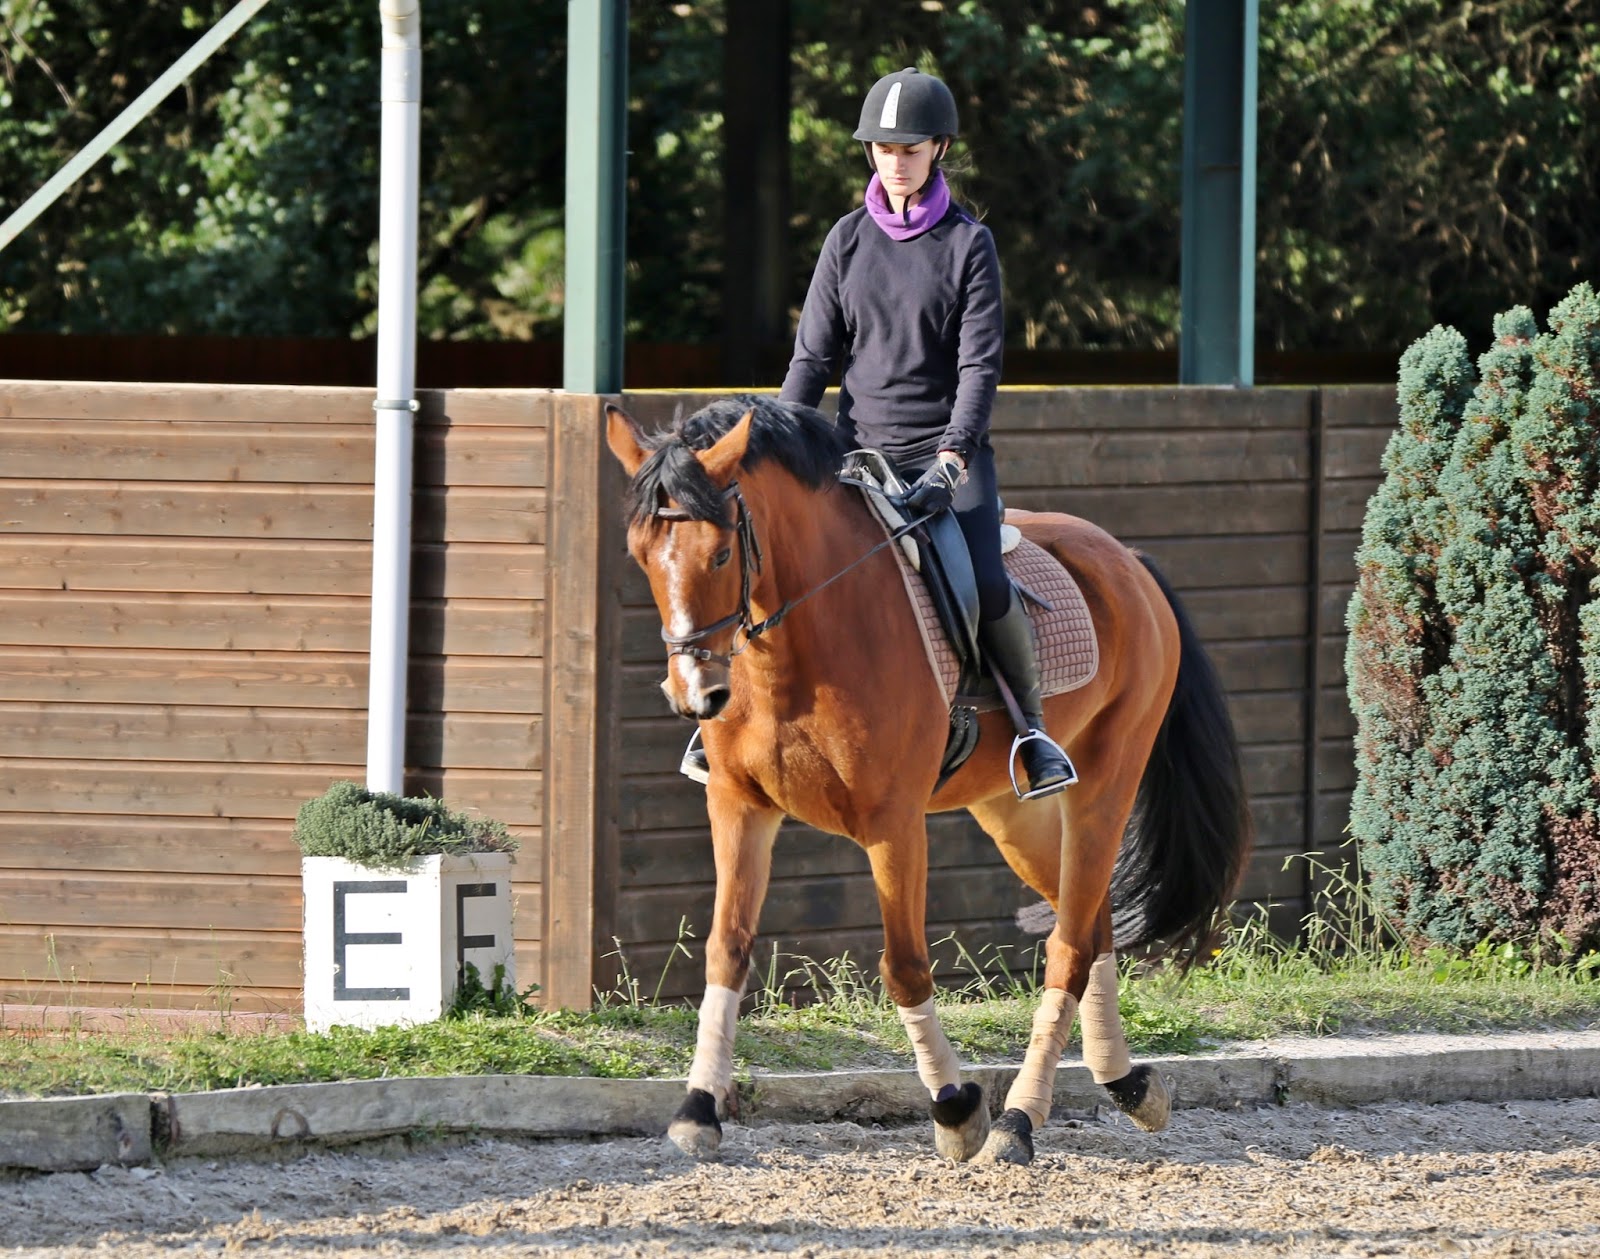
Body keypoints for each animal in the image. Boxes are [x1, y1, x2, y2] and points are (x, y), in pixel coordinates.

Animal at [605, 394, 1252, 1165]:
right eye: (641, 557)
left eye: (723, 553)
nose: (695, 695)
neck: (799, 646)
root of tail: (1130, 561)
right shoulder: (739, 805)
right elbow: (725, 948)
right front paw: (698, 1108)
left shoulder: (893, 823)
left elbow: (906, 965)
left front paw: (956, 1108)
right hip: (1009, 812)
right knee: (1090, 923)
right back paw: (1125, 1082)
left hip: (1106, 783)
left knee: (1068, 944)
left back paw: (1018, 1121)